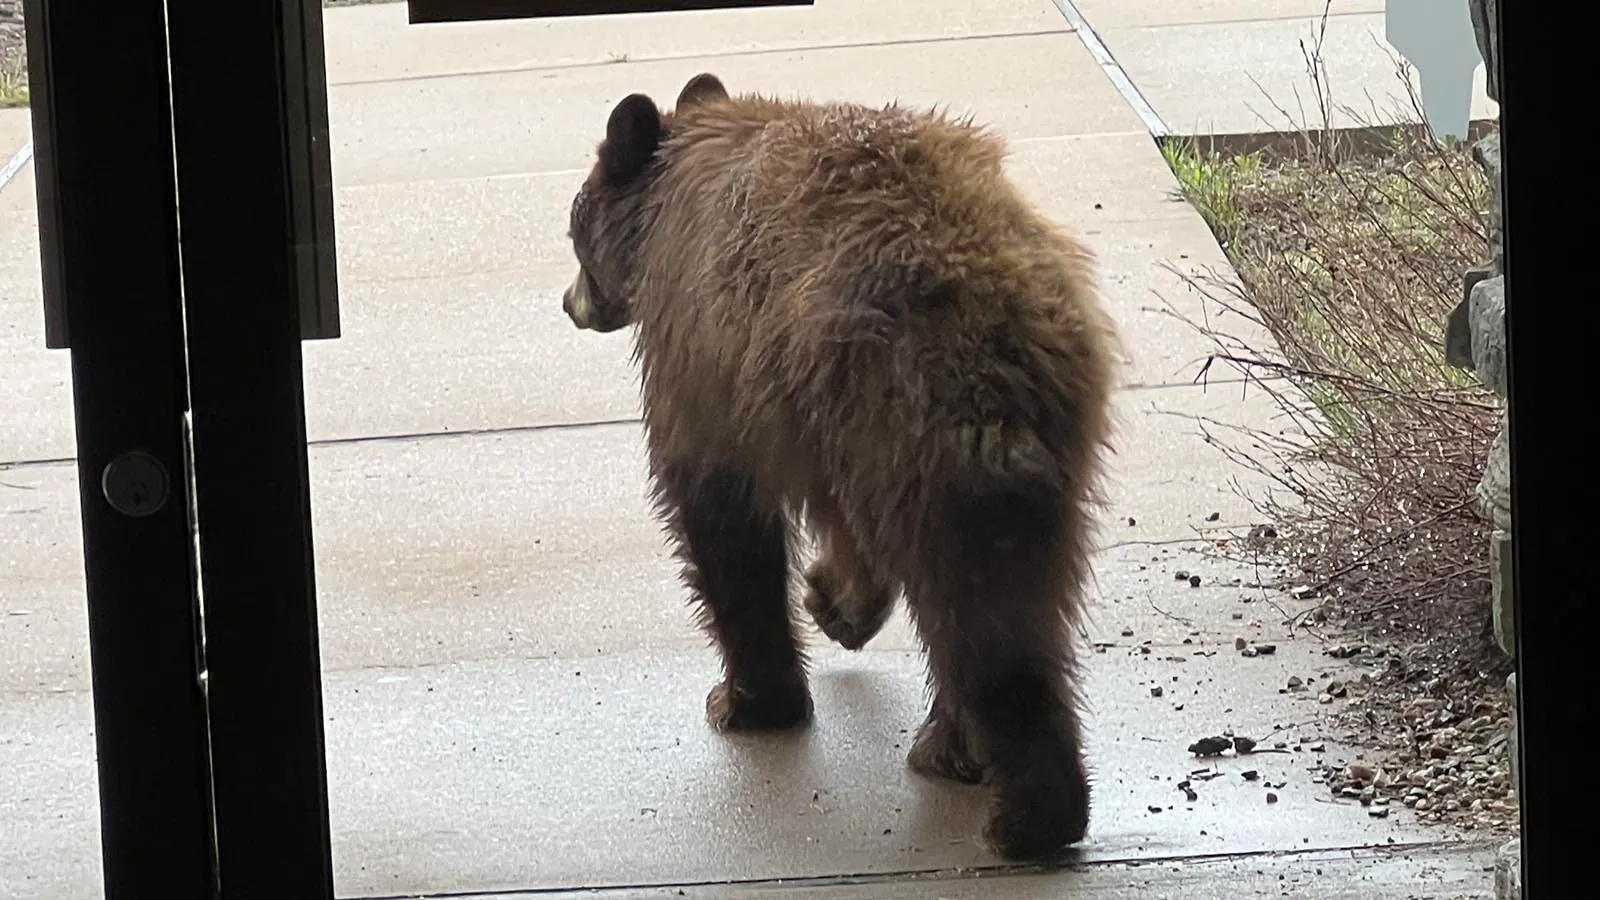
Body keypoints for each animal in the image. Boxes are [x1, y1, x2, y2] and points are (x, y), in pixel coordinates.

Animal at [560, 72, 1120, 862]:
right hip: (1021, 455)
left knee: (978, 621)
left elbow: (720, 514)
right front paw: (835, 600)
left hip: (902, 432)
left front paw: (749, 697)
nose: (569, 302)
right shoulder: (808, 424)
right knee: (1009, 601)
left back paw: (1020, 812)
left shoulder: (709, 367)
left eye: (572, 226)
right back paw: (962, 751)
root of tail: (991, 337)